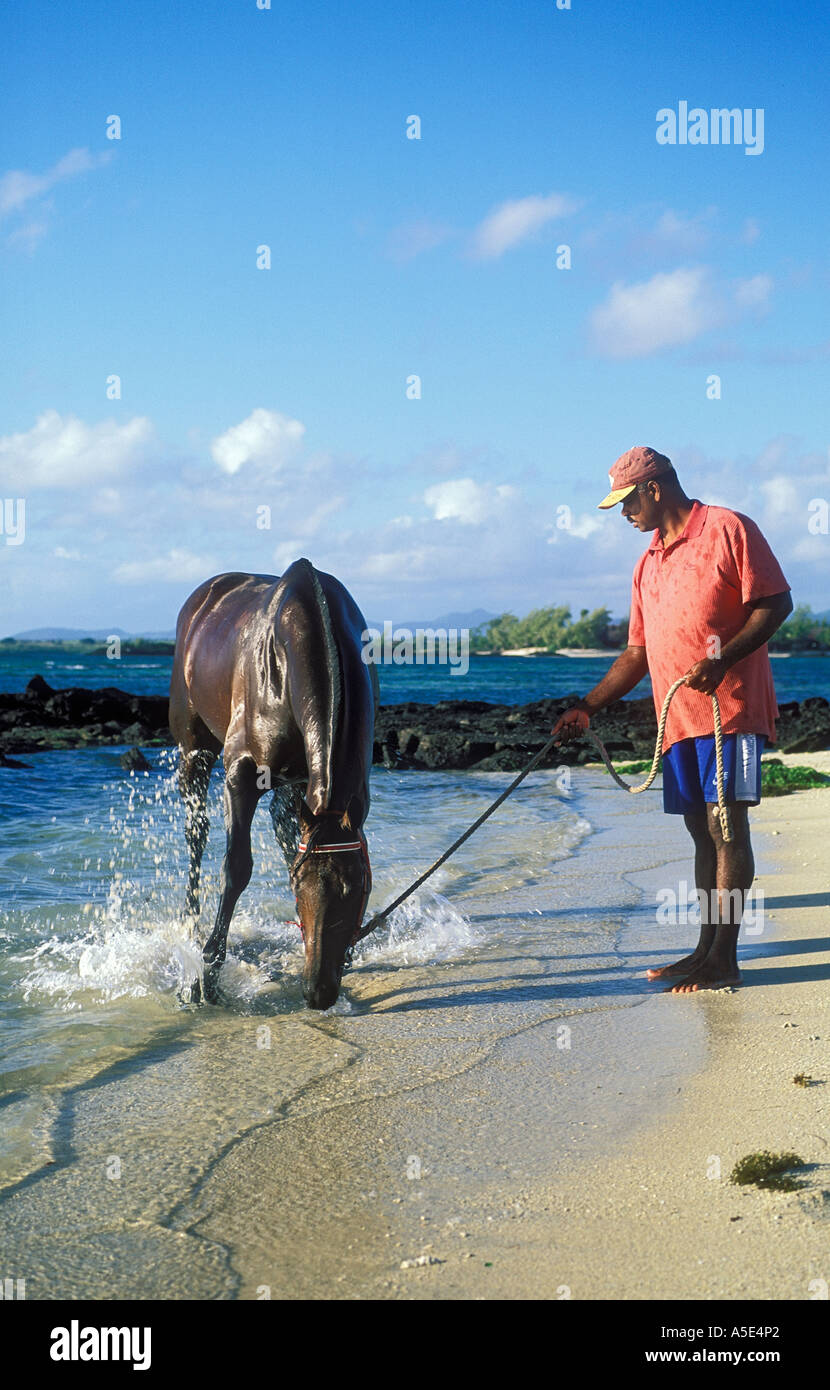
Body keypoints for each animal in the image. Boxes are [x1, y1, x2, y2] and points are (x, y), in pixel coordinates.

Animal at [169, 558, 378, 1009]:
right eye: (298, 890)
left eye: (355, 889)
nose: (318, 992)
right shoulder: (240, 773)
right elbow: (236, 867)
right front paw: (206, 975)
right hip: (192, 748)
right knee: (195, 835)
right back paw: (191, 929)